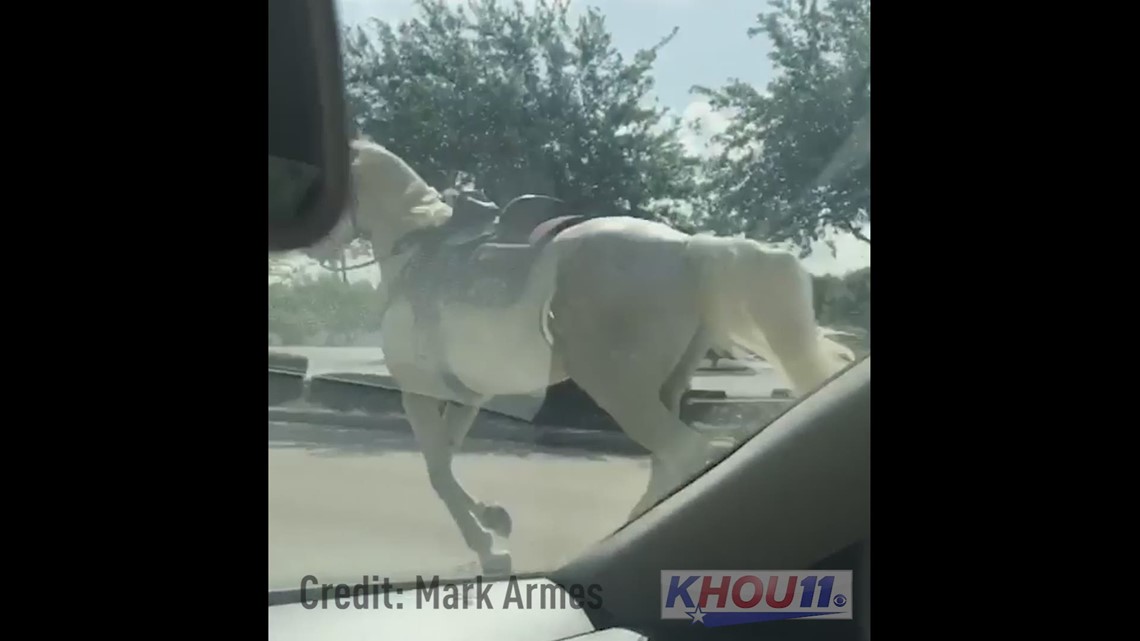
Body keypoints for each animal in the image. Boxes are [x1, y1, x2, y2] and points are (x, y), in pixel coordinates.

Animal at [301, 138, 856, 575]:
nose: (317, 246)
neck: (416, 247)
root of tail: (688, 250)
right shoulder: (470, 394)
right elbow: (447, 458)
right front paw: (493, 520)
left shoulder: (416, 388)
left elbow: (437, 470)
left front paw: (489, 547)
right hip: (665, 385)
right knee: (667, 457)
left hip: (617, 387)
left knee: (681, 450)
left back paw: (623, 533)